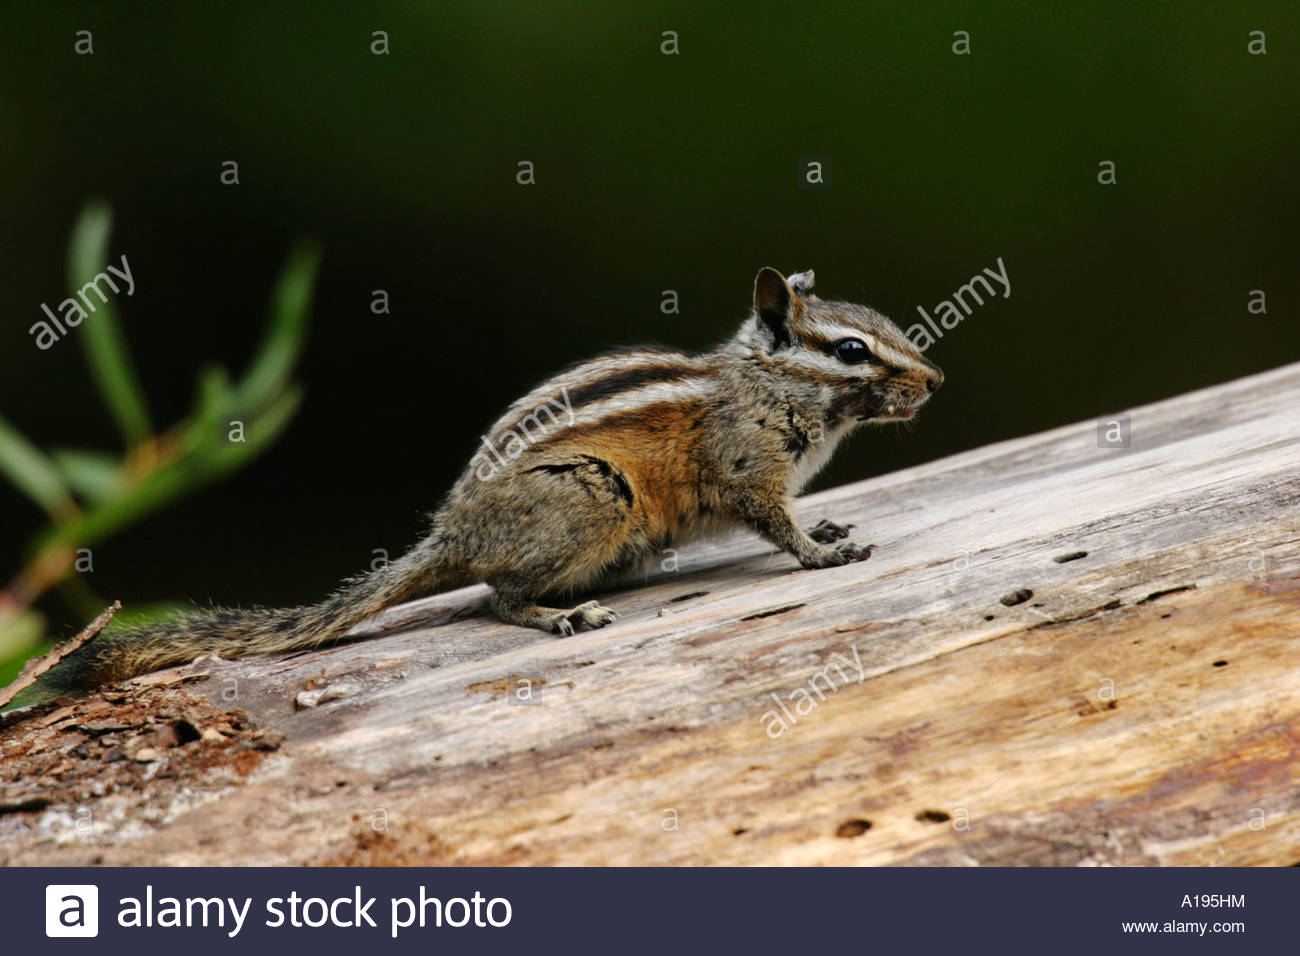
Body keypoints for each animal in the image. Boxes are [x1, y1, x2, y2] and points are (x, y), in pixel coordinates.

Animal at [33, 267, 942, 700]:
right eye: (852, 350)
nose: (934, 380)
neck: (767, 384)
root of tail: (453, 534)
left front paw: (827, 530)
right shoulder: (744, 471)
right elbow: (772, 520)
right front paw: (820, 555)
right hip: (593, 493)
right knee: (496, 596)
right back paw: (558, 614)